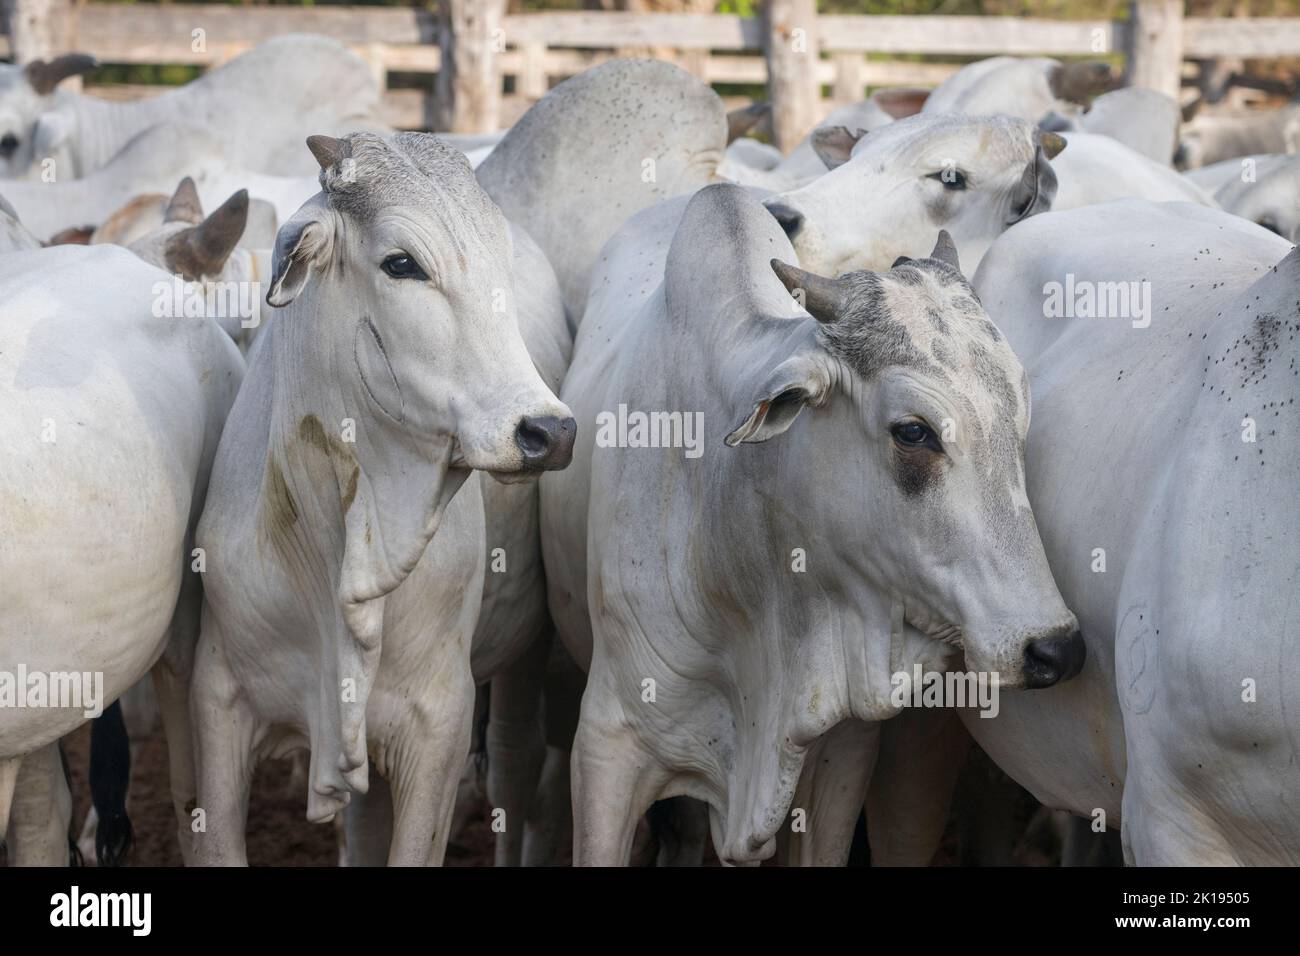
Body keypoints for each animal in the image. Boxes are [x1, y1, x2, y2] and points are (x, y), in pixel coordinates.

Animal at [188, 132, 575, 866]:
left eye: (498, 257)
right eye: (402, 264)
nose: (549, 431)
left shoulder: (439, 724)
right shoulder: (220, 704)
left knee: (518, 773)